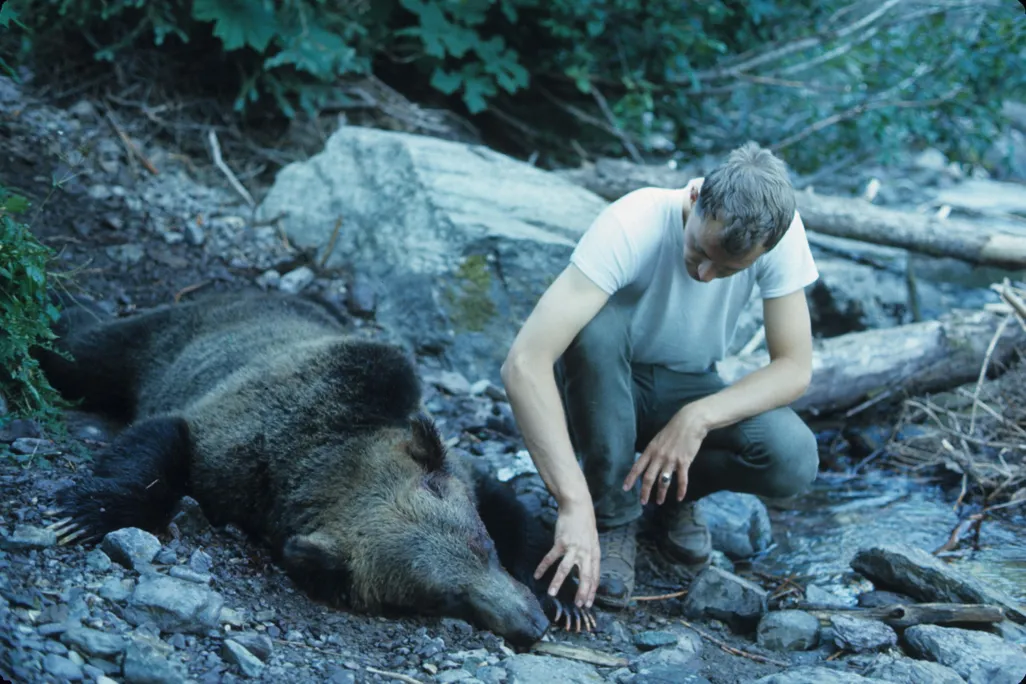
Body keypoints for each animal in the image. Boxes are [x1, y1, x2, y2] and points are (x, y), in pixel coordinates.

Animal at [37, 290, 594, 647]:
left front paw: (564, 594)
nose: (530, 625)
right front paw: (84, 514)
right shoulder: (231, 447)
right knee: (81, 354)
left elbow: (510, 508)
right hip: (163, 340)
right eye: (446, 597)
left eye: (484, 547)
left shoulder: (443, 454)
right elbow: (163, 444)